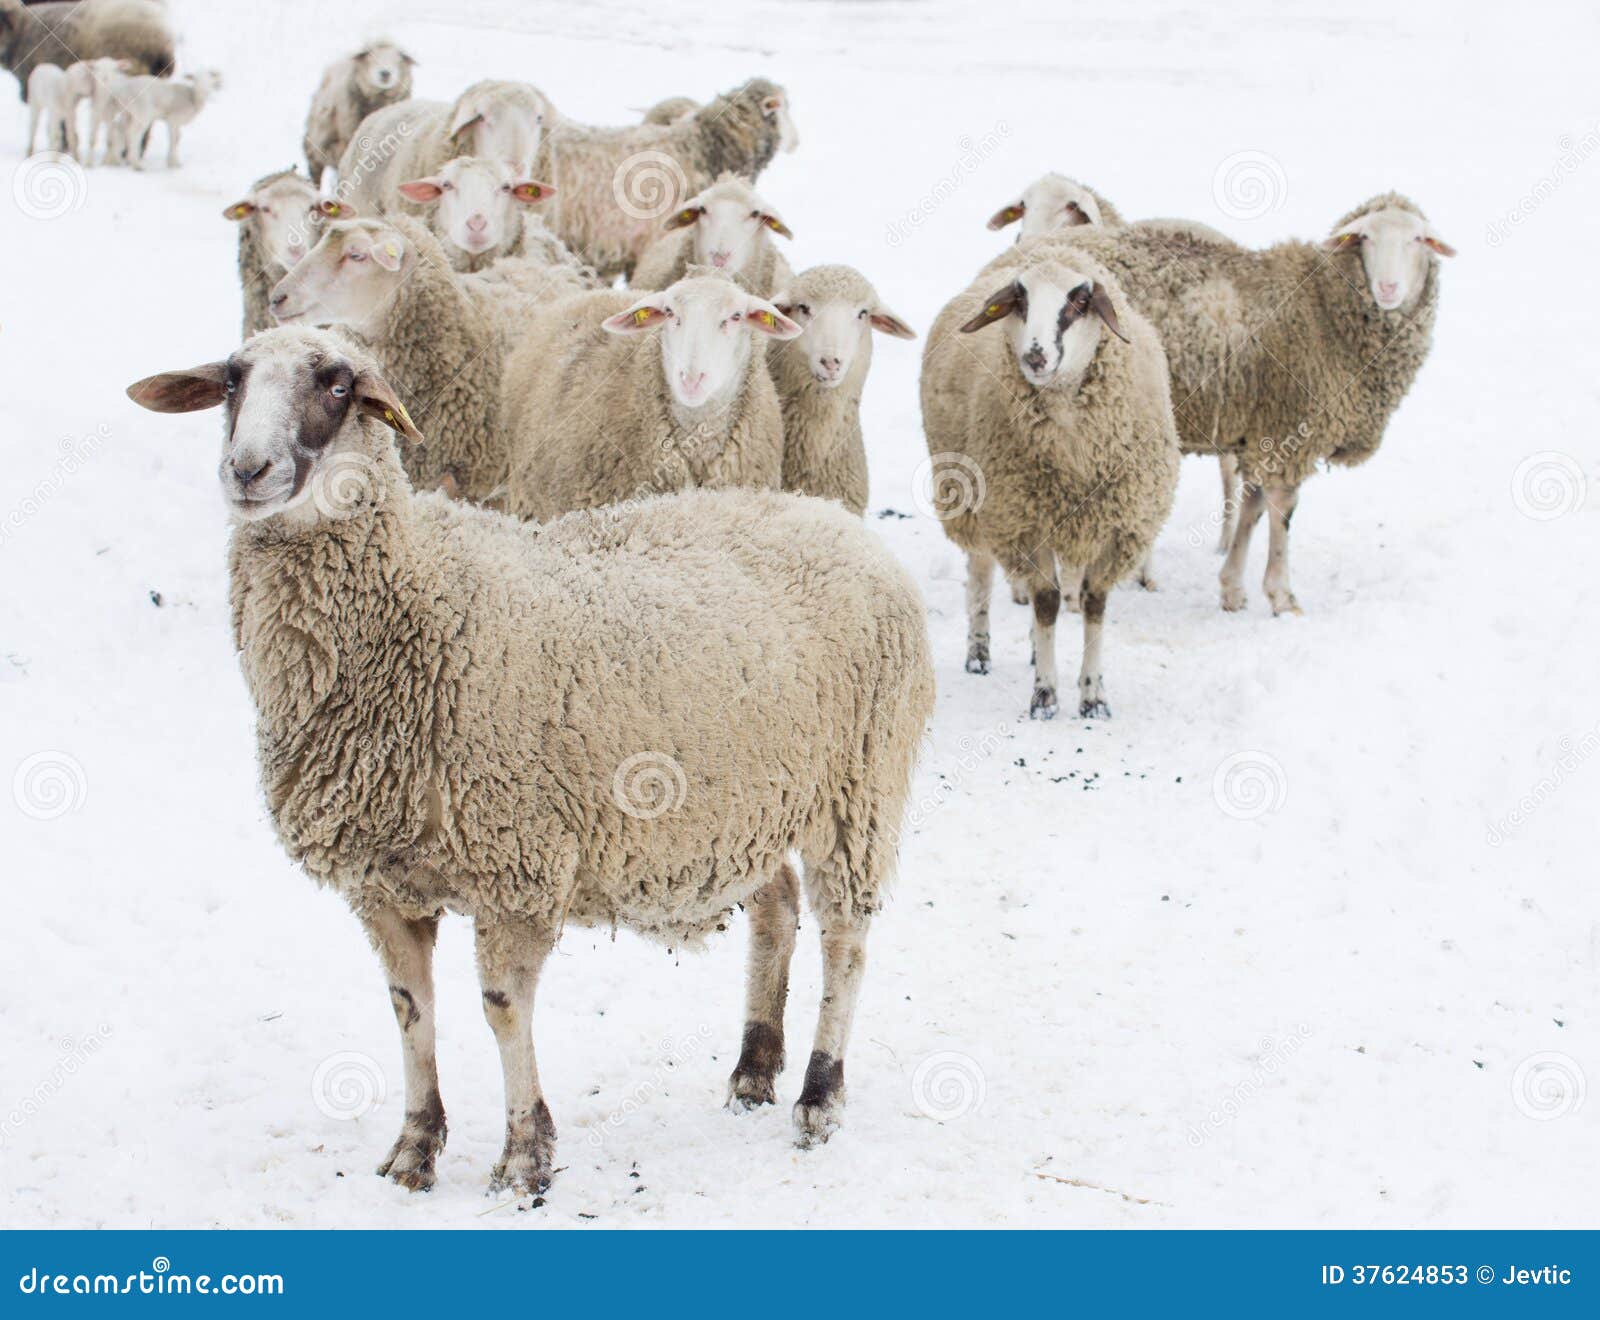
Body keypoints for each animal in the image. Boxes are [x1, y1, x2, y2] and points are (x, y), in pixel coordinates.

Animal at [126, 324, 935, 1194]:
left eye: (338, 386)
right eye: (231, 382)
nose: (247, 471)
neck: (409, 604)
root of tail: (831, 519)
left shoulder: (516, 865)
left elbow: (501, 1008)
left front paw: (524, 1155)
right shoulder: (383, 883)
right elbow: (410, 1010)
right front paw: (414, 1149)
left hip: (858, 789)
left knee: (846, 938)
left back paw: (819, 1095)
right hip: (745, 803)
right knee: (778, 907)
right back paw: (754, 1070)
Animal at [922, 251, 1179, 719]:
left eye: (1078, 303)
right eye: (1020, 301)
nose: (1036, 357)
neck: (1073, 454)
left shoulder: (1114, 528)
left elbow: (1093, 603)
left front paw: (1093, 695)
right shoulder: (1025, 522)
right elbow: (1045, 602)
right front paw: (1045, 695)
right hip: (974, 503)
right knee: (981, 574)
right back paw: (979, 653)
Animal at [1034, 193, 1453, 615]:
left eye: (1418, 239)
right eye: (1365, 237)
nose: (1388, 288)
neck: (1324, 307)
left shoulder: (1265, 430)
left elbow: (1252, 506)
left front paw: (1233, 588)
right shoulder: (1290, 425)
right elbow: (1283, 510)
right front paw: (1282, 596)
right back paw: (1067, 592)